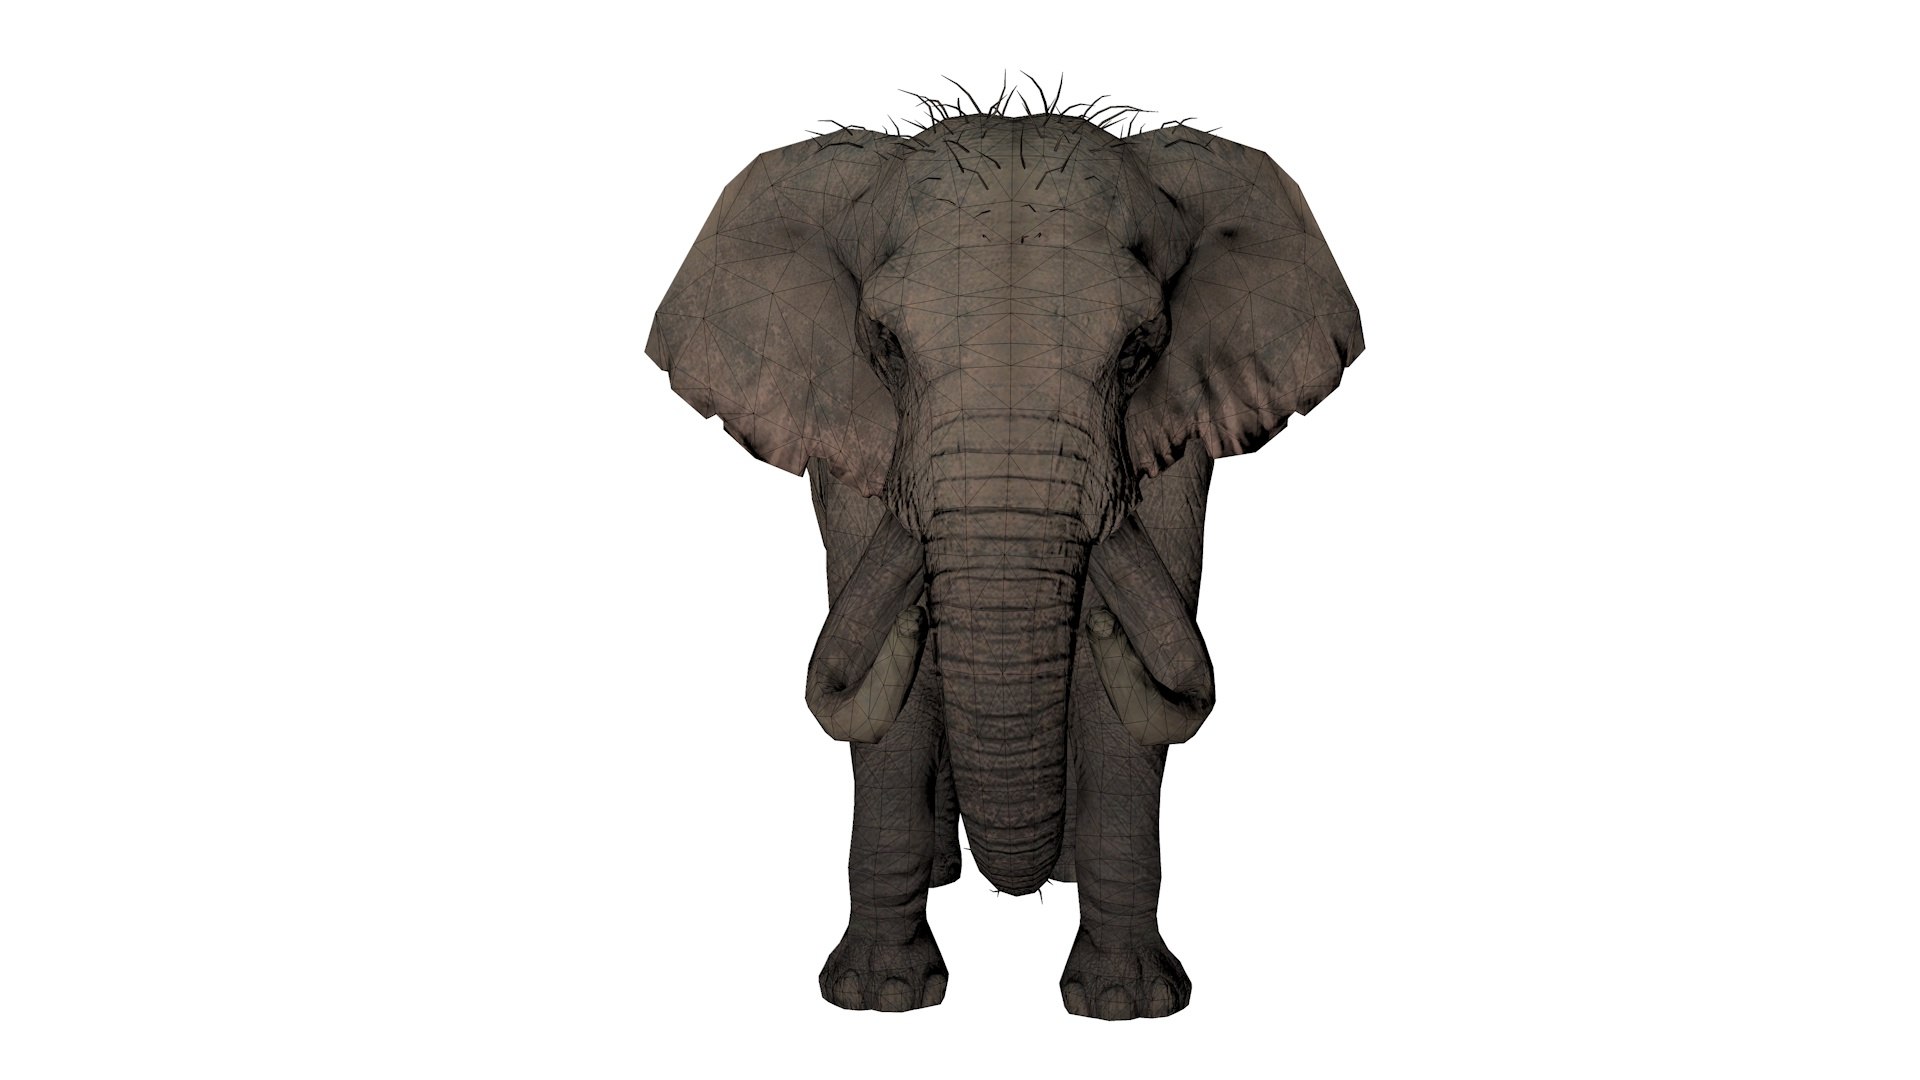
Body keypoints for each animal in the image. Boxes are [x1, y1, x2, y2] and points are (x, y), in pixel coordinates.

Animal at [646, 100, 1363, 1019]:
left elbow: (1119, 685)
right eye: (885, 344)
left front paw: (1125, 1004)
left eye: (1139, 347)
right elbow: (898, 685)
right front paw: (882, 995)